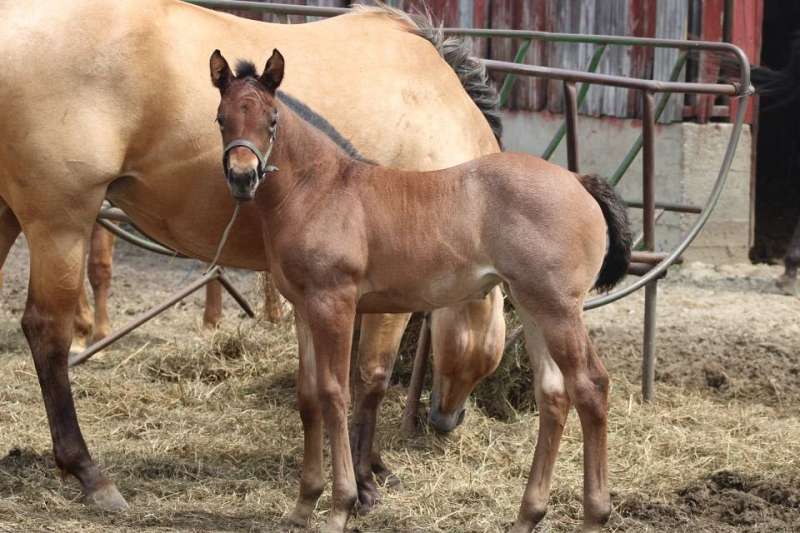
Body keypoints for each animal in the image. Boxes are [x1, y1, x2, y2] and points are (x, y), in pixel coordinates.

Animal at [0, 0, 505, 514]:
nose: (448, 421)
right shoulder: (387, 300)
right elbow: (370, 382)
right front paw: (364, 482)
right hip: (61, 222)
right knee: (47, 333)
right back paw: (89, 474)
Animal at [210, 48, 632, 533]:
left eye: (272, 119)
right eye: (221, 118)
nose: (243, 177)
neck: (319, 190)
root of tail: (579, 181)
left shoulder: (335, 304)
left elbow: (336, 394)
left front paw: (340, 506)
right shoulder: (303, 307)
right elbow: (309, 395)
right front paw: (303, 504)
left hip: (559, 309)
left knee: (591, 387)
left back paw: (594, 515)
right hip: (532, 305)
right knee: (554, 394)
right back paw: (528, 515)